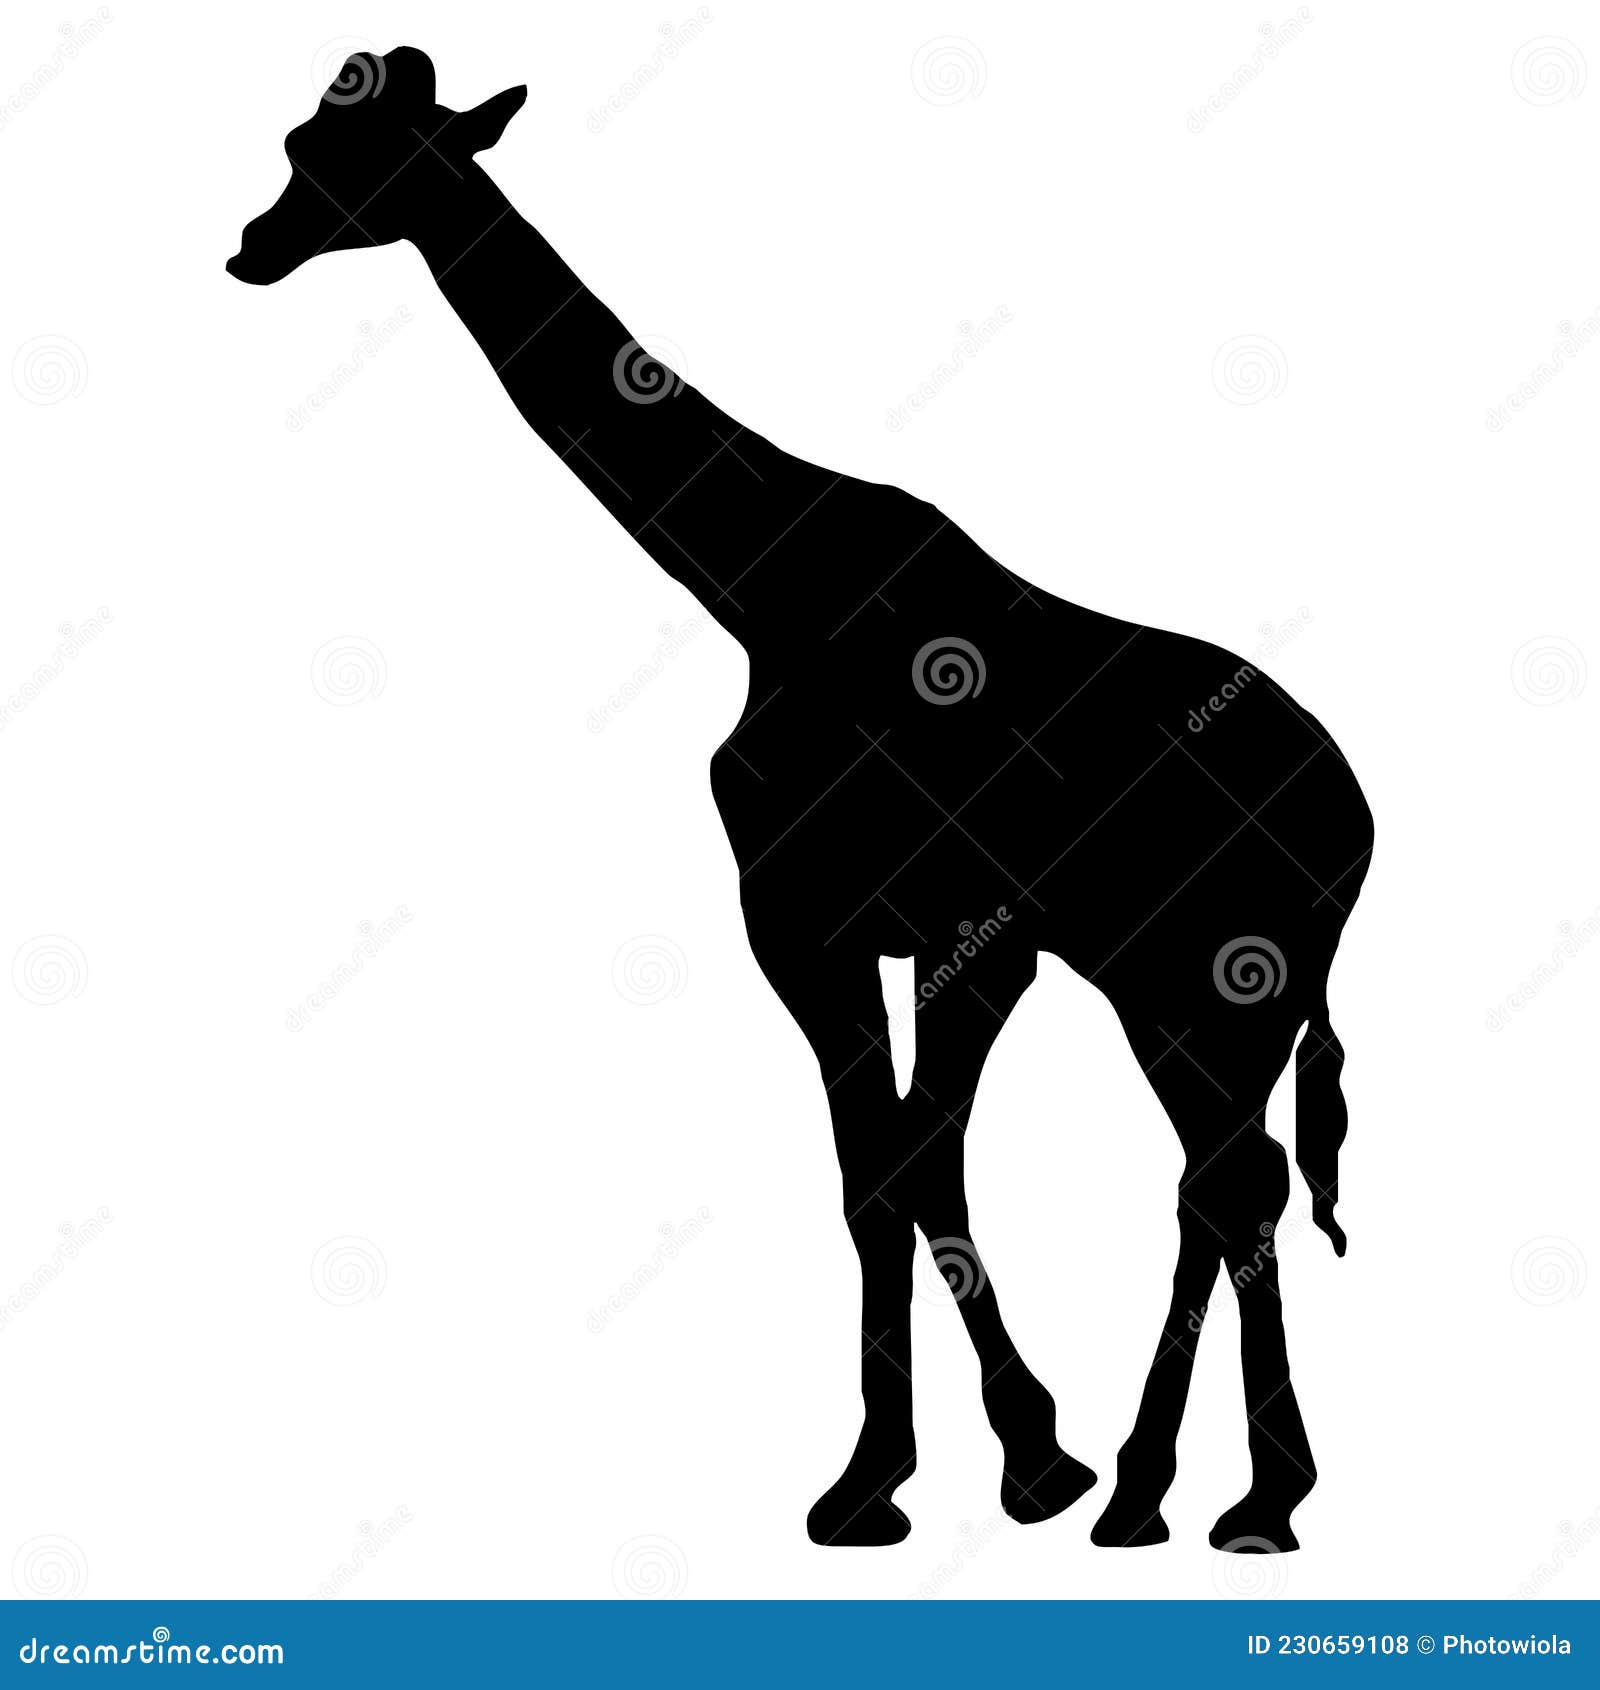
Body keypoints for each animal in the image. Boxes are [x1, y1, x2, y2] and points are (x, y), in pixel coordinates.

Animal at [228, 47, 1374, 1554]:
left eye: (346, 155)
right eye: (303, 139)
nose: (252, 243)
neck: (765, 593)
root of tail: (1359, 816)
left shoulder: (960, 926)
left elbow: (914, 1162)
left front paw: (1025, 1461)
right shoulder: (812, 922)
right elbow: (871, 1176)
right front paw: (882, 1481)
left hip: (1227, 974)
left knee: (1232, 1182)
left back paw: (1219, 1499)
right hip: (1177, 986)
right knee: (1224, 1181)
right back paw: (1190, 1495)